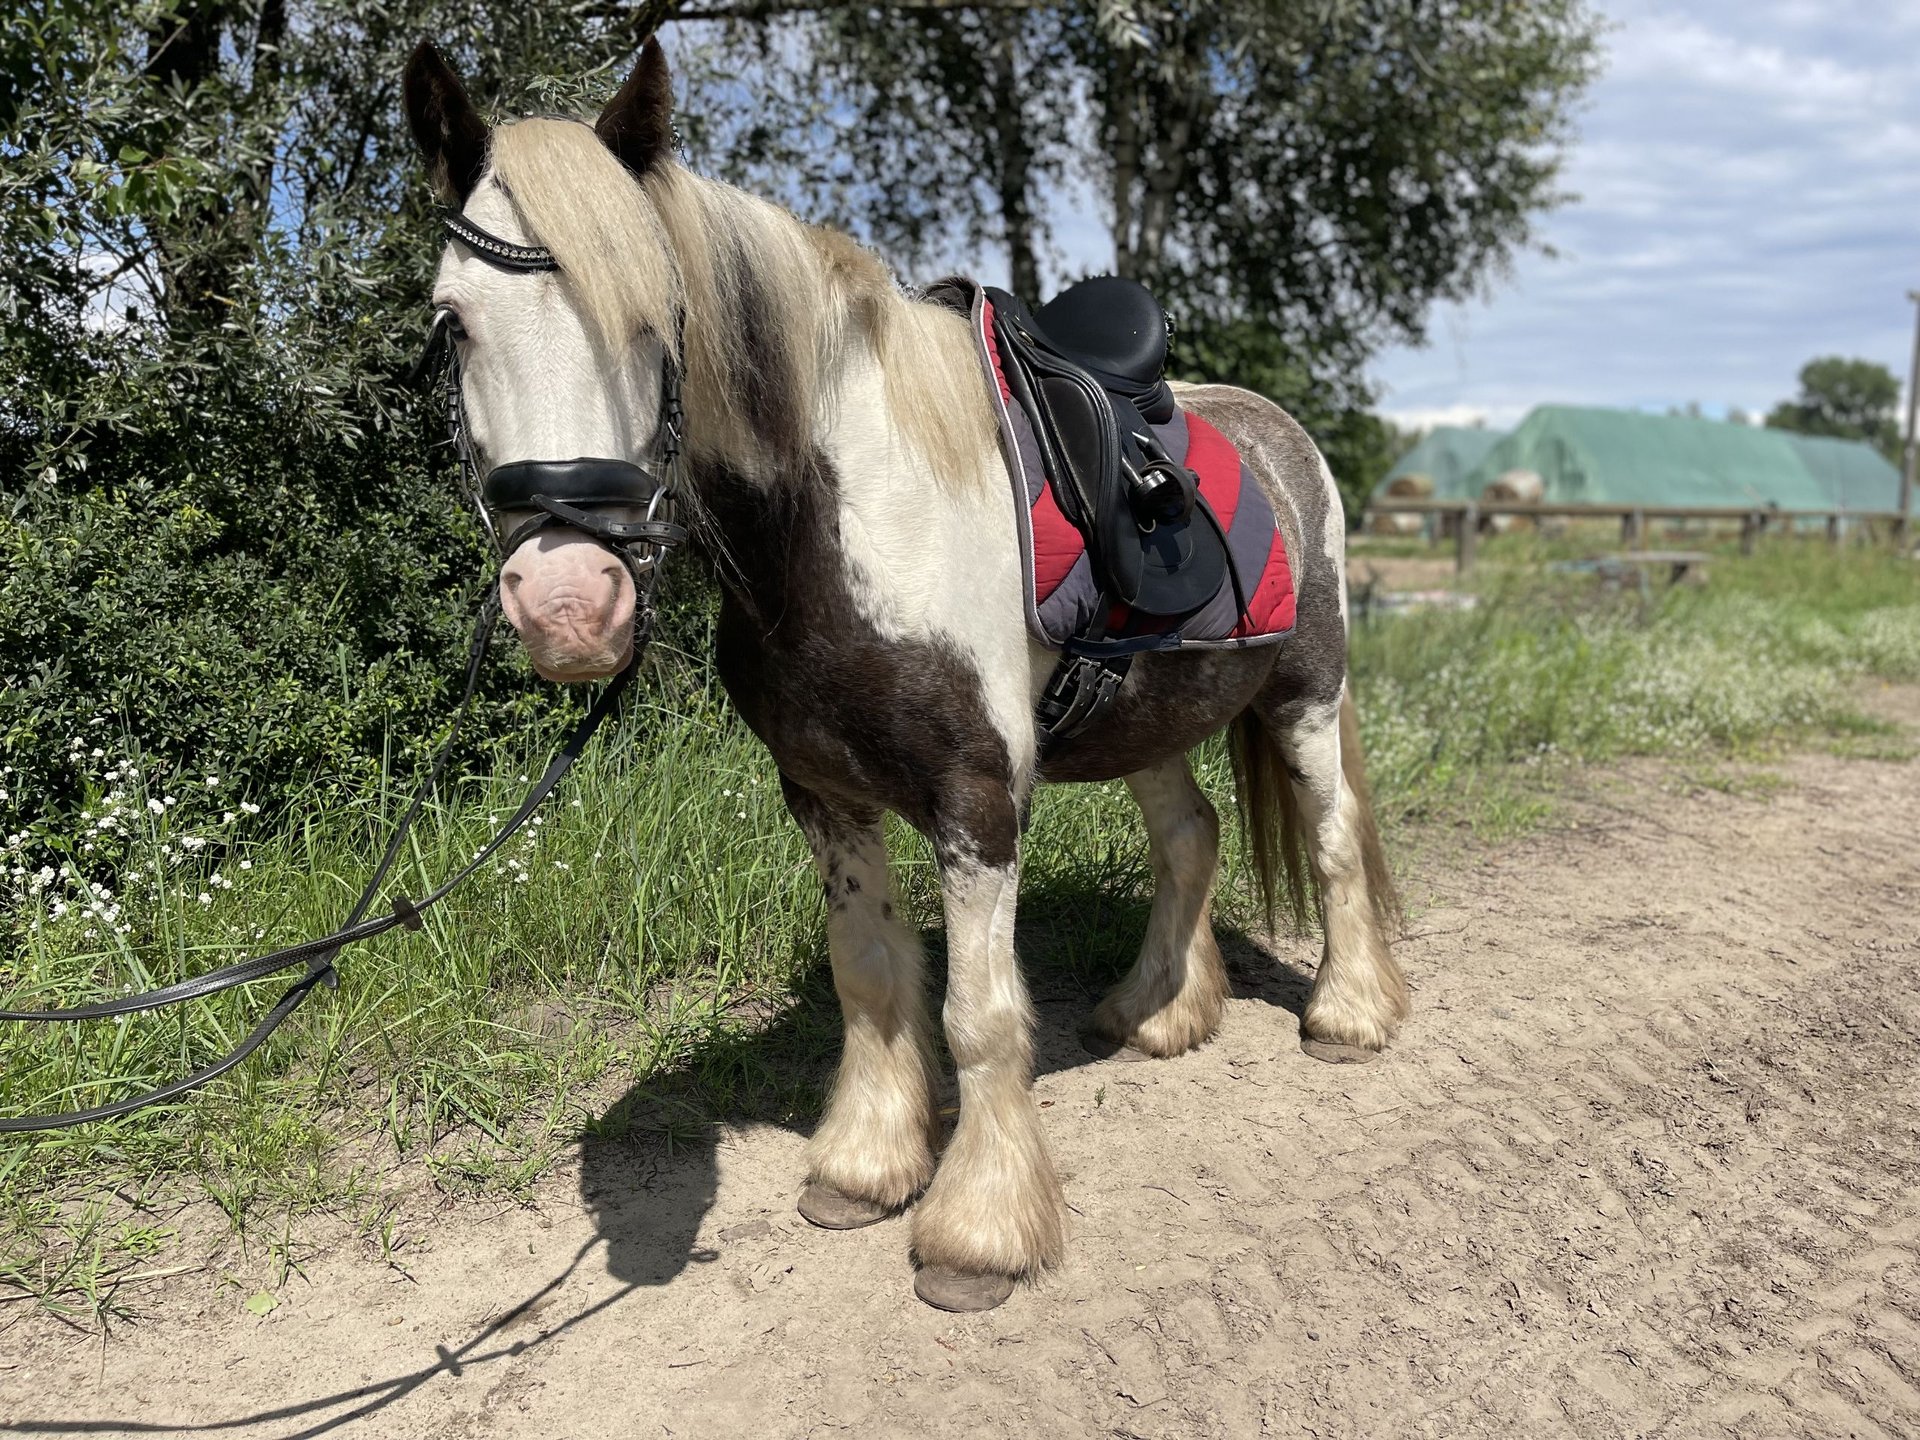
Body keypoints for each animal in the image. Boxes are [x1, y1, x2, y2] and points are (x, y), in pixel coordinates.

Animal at [403, 38, 1404, 1313]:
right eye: (453, 322)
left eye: (658, 319)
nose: (571, 601)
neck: (848, 522)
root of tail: (1283, 434)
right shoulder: (824, 792)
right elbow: (870, 973)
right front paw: (868, 1166)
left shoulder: (976, 799)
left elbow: (980, 1014)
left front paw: (980, 1230)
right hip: (1151, 716)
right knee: (1191, 837)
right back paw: (1156, 1012)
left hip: (1306, 695)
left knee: (1333, 839)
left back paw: (1350, 1014)